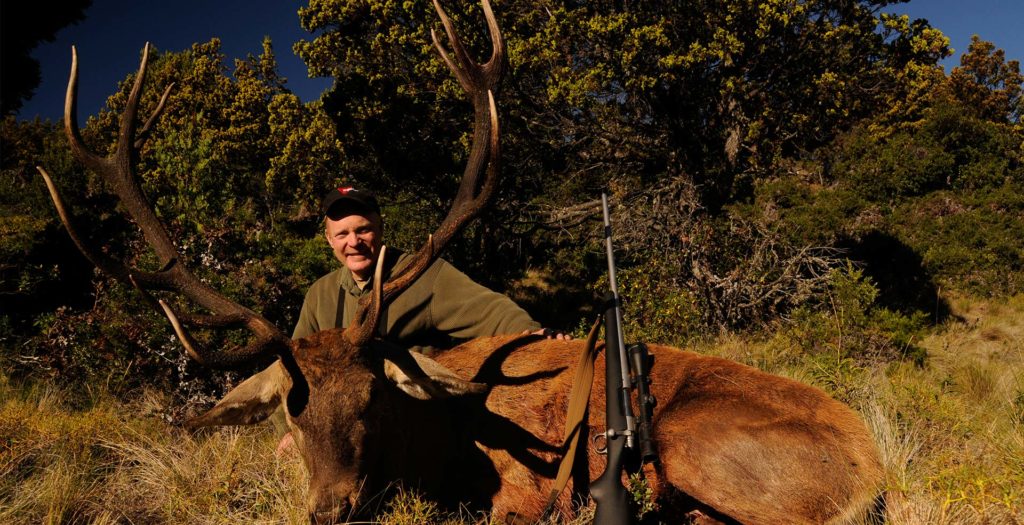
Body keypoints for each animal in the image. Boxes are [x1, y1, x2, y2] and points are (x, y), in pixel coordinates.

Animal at [38, 0, 885, 523]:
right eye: (290, 408)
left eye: (374, 399)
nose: (331, 509)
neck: (439, 445)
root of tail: (874, 472)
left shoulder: (526, 492)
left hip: (703, 444)